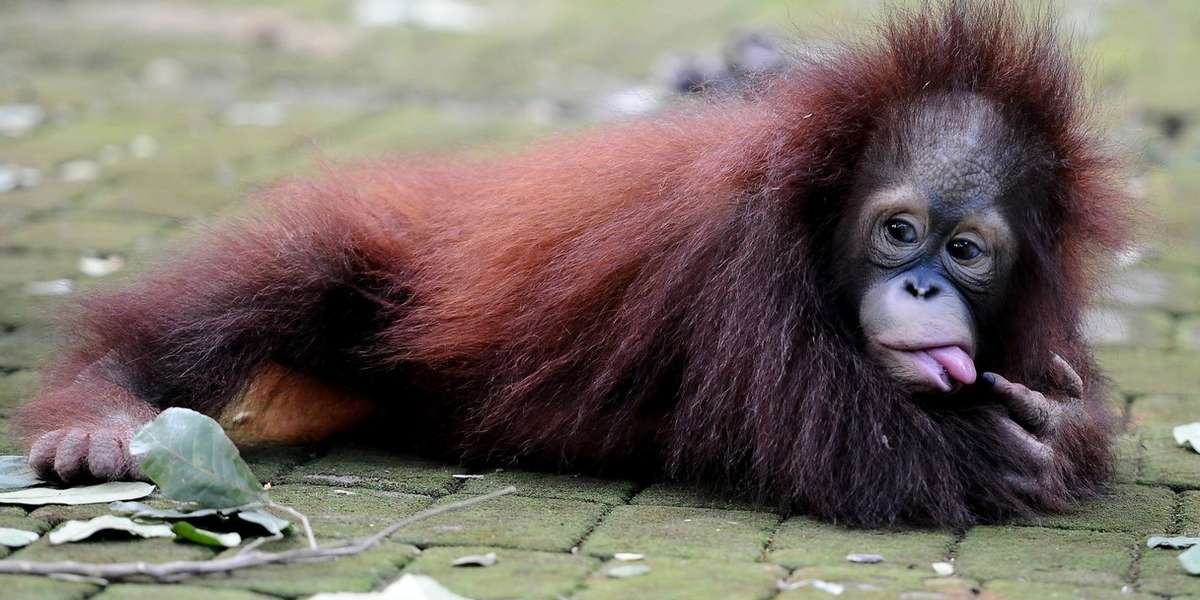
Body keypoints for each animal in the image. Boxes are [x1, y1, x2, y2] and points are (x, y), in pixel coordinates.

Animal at [15, 2, 1130, 527]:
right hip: (389, 255)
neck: (816, 216)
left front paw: (1061, 424)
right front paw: (1038, 447)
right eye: (900, 231)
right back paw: (98, 409)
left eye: (968, 250)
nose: (923, 283)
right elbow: (834, 443)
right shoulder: (736, 258)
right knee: (292, 273)